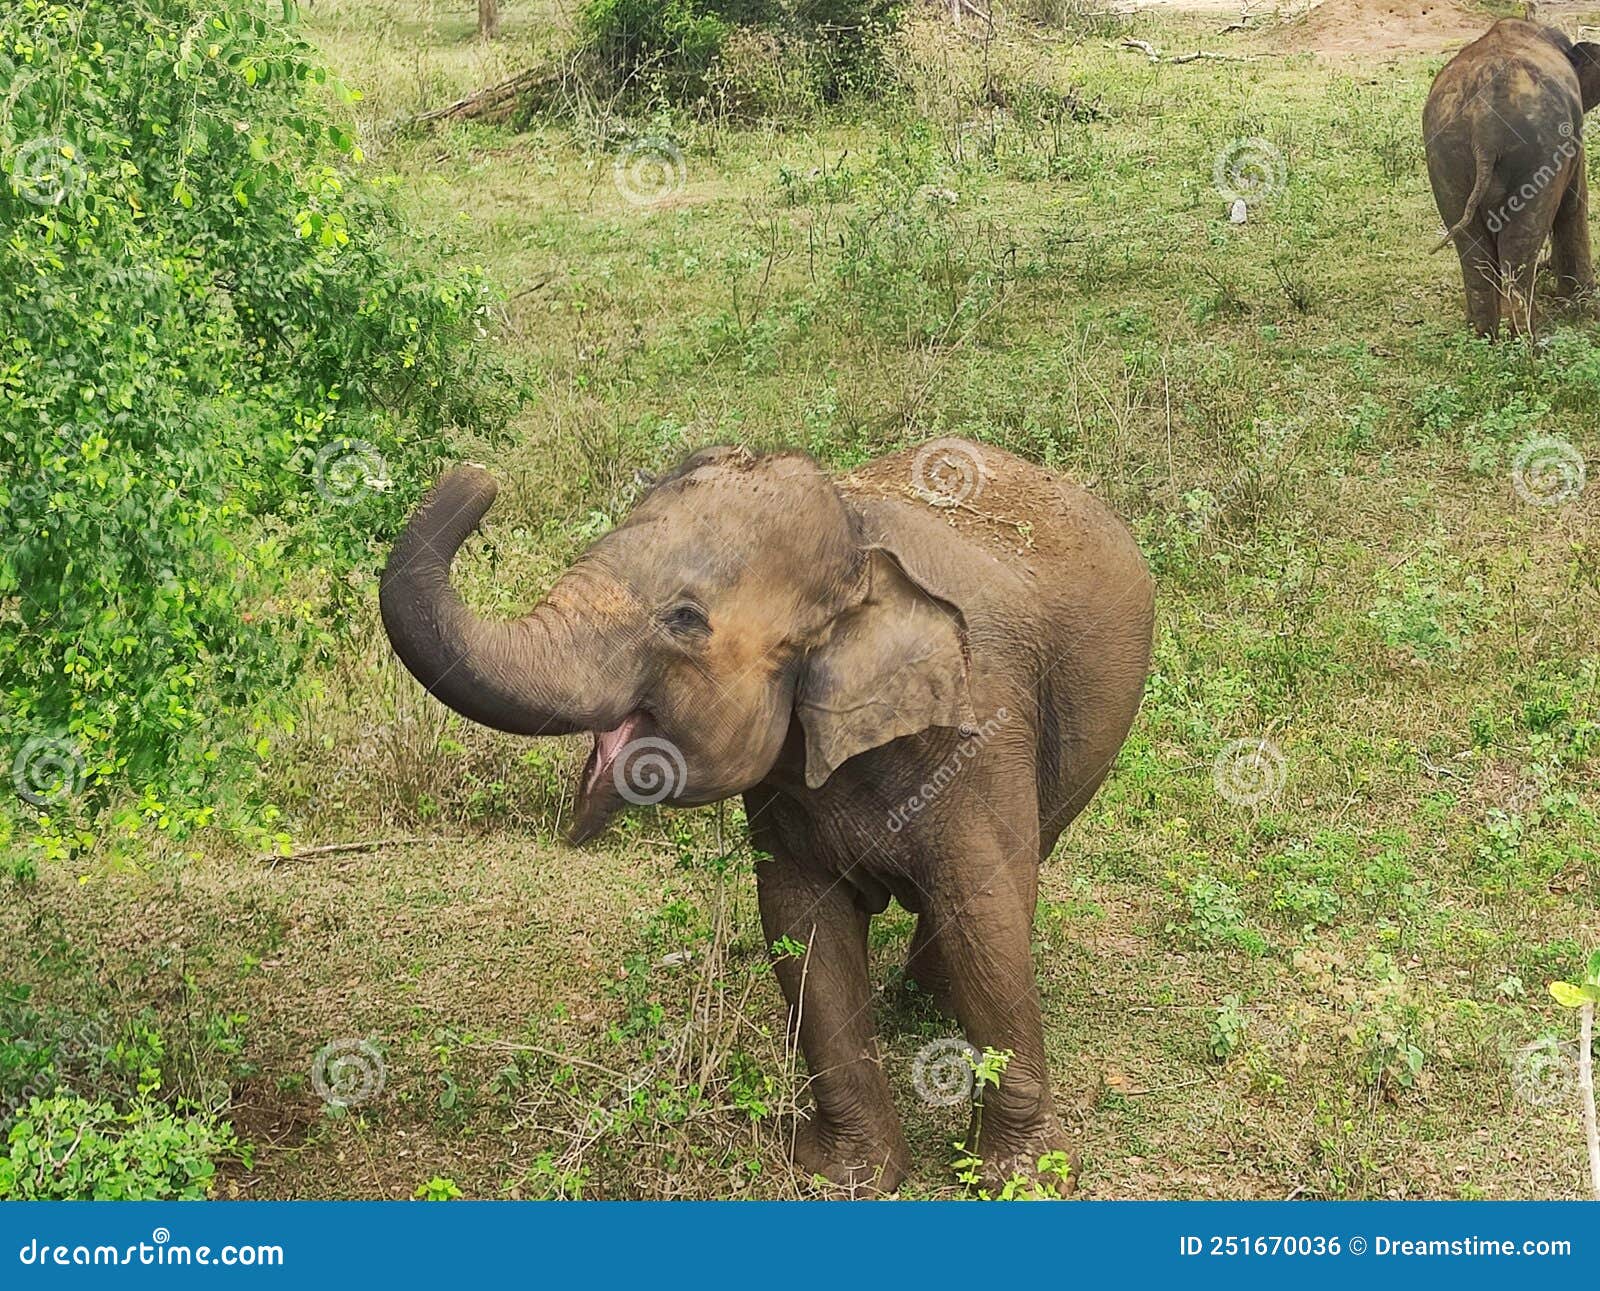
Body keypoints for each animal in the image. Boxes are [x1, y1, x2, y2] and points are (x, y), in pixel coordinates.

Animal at [379, 440, 1154, 1194]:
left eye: (684, 618)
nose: (478, 475)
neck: (857, 545)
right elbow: (804, 929)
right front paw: (844, 1174)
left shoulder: (983, 729)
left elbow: (984, 921)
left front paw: (1024, 1179)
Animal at [1424, 19, 1600, 337]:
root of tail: (1484, 128)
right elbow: (1574, 201)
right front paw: (1583, 306)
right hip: (1538, 150)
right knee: (1520, 245)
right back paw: (1527, 343)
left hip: (1445, 153)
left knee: (1473, 250)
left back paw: (1484, 338)